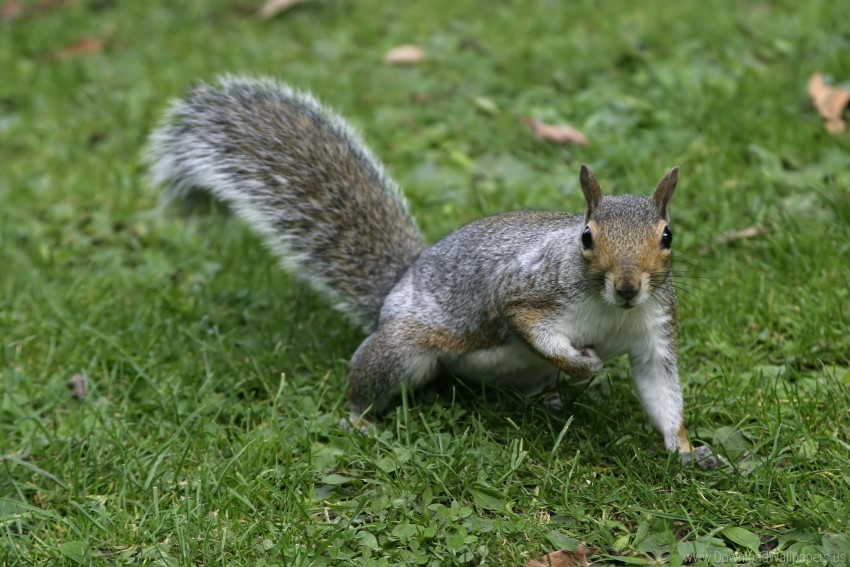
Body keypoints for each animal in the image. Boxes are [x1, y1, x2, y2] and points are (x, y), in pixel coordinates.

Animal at [147, 76, 717, 469]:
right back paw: (358, 420)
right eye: (587, 237)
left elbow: (661, 392)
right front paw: (583, 365)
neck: (610, 311)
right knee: (370, 381)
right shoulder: (526, 291)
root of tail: (392, 292)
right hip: (401, 351)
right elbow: (529, 326)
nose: (628, 286)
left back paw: (551, 399)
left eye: (667, 237)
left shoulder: (654, 332)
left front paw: (687, 450)